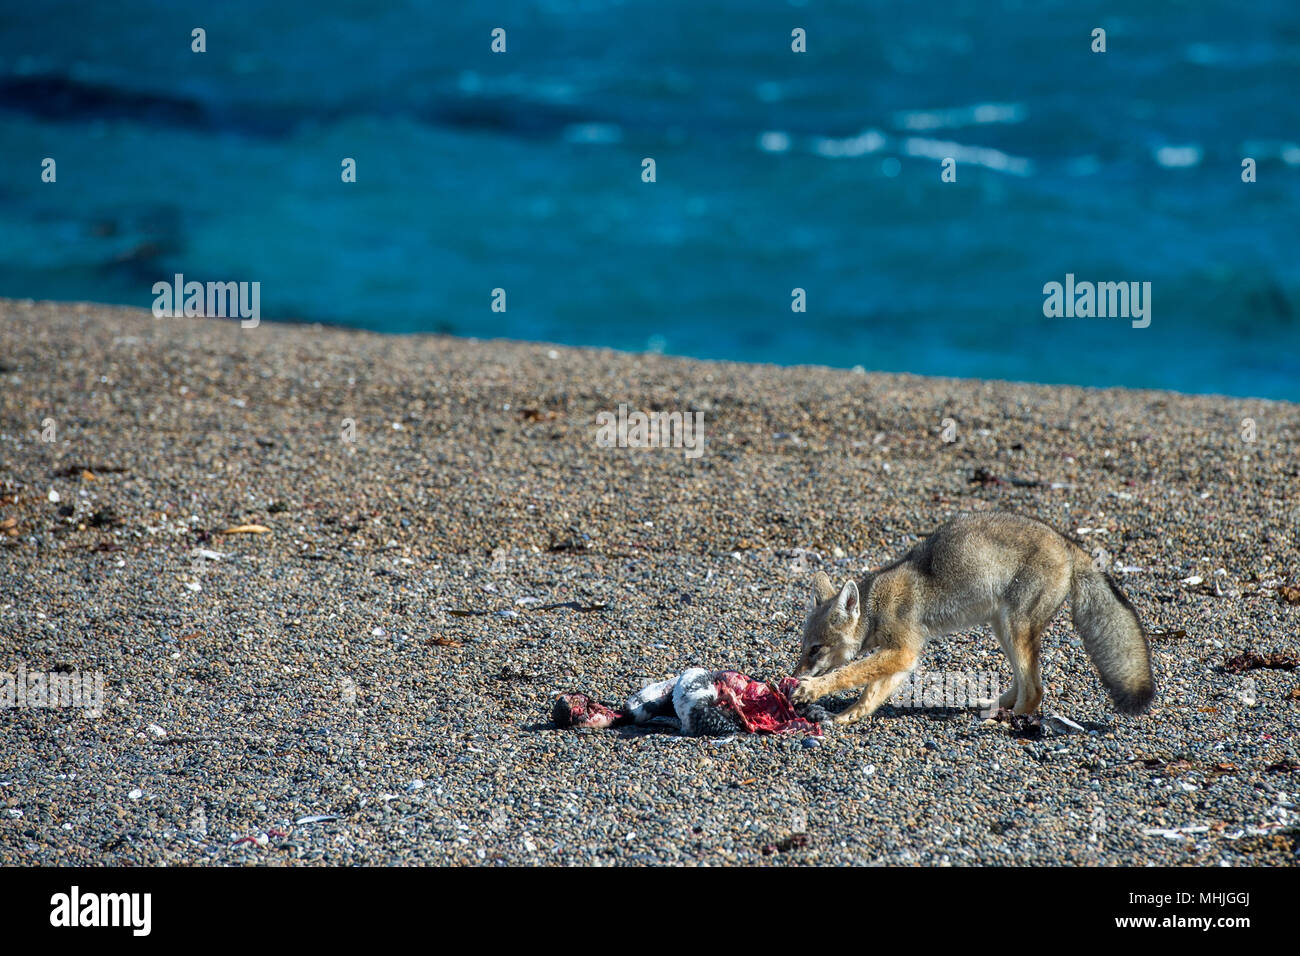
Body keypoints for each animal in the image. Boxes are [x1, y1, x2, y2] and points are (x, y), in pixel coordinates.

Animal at [789, 511, 1155, 725]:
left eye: (815, 649)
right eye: (803, 647)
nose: (792, 677)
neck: (877, 604)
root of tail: (1068, 543)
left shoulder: (903, 650)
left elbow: (850, 673)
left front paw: (813, 689)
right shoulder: (902, 659)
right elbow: (870, 692)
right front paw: (848, 716)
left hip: (1015, 628)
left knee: (1035, 690)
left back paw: (1004, 721)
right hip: (1002, 627)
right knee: (1023, 682)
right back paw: (995, 705)